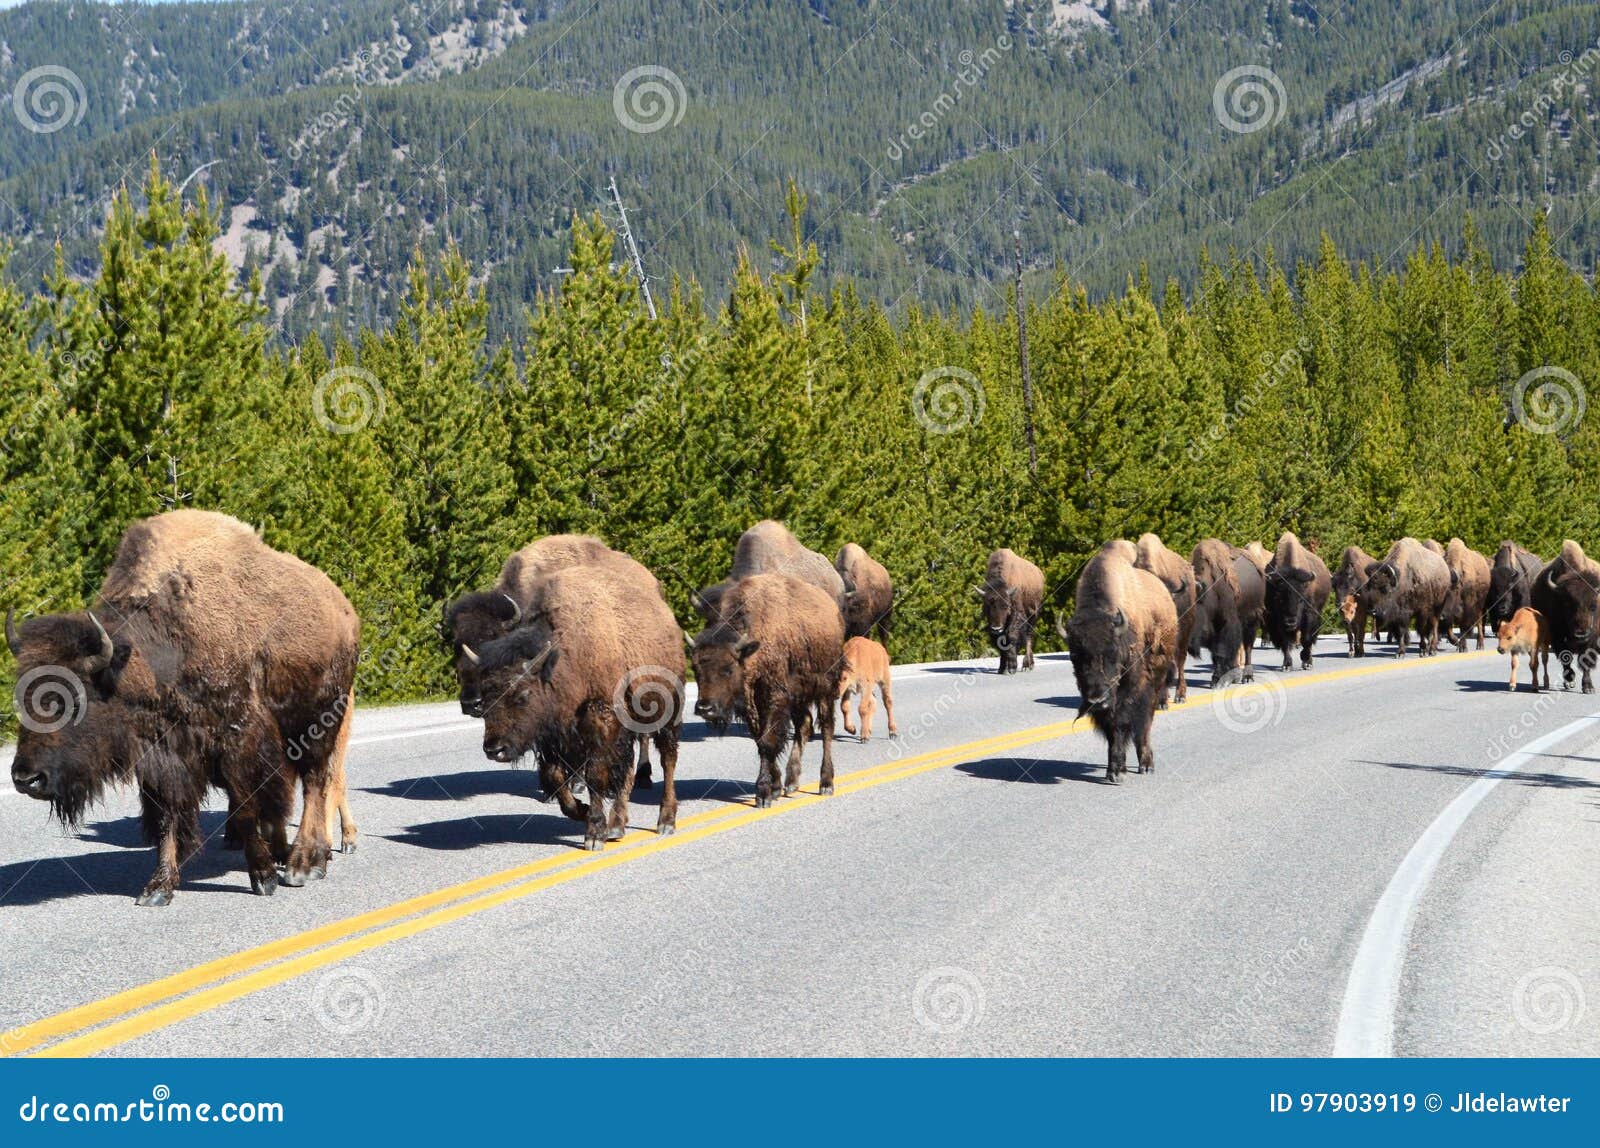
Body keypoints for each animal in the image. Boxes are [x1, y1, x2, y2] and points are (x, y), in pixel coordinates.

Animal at [6, 511, 358, 905]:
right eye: (21, 697)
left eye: (76, 698)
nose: (25, 778)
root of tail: (343, 611)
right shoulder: (161, 758)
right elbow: (166, 818)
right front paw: (158, 888)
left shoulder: (238, 744)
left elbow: (246, 808)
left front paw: (263, 878)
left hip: (318, 723)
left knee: (316, 784)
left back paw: (304, 865)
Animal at [692, 573, 844, 808]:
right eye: (695, 668)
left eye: (728, 668)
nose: (705, 708)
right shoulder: (754, 707)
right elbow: (761, 740)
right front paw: (775, 787)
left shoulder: (775, 698)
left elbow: (767, 742)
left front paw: (763, 794)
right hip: (799, 698)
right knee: (804, 725)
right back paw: (791, 782)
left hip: (825, 689)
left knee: (827, 727)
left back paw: (826, 783)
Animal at [1060, 541, 1177, 782]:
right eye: (1075, 657)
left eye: (1113, 654)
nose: (1097, 700)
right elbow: (1111, 729)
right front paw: (1113, 770)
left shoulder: (1128, 691)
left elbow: (1122, 723)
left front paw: (1119, 772)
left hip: (1155, 684)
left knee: (1145, 722)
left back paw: (1146, 765)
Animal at [1264, 532, 1332, 670]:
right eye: (1279, 599)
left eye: (1301, 599)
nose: (1291, 622)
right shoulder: (1277, 618)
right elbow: (1285, 642)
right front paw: (1286, 665)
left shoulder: (1310, 614)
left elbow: (1306, 639)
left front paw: (1306, 661)